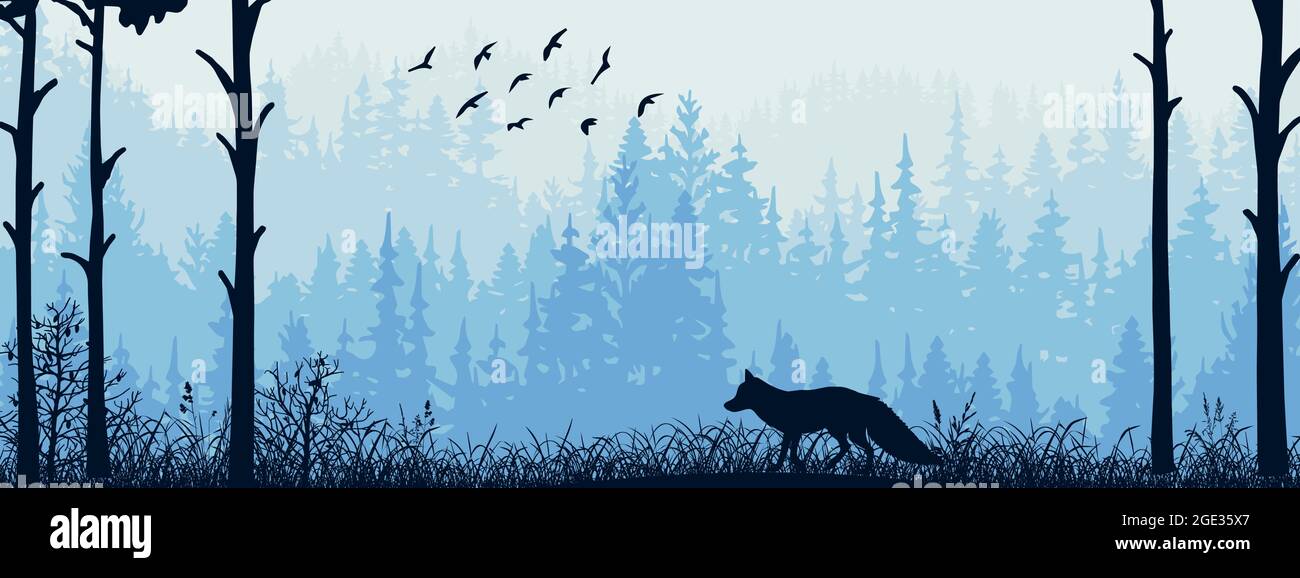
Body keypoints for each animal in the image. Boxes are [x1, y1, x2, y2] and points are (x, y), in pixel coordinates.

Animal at [724, 370, 940, 471]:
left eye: (740, 395)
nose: (726, 404)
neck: (774, 402)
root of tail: (867, 398)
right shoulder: (793, 433)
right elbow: (789, 453)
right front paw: (796, 466)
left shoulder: (792, 432)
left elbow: (786, 453)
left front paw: (786, 467)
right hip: (841, 432)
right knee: (850, 448)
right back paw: (832, 466)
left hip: (843, 432)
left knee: (864, 449)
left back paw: (862, 470)